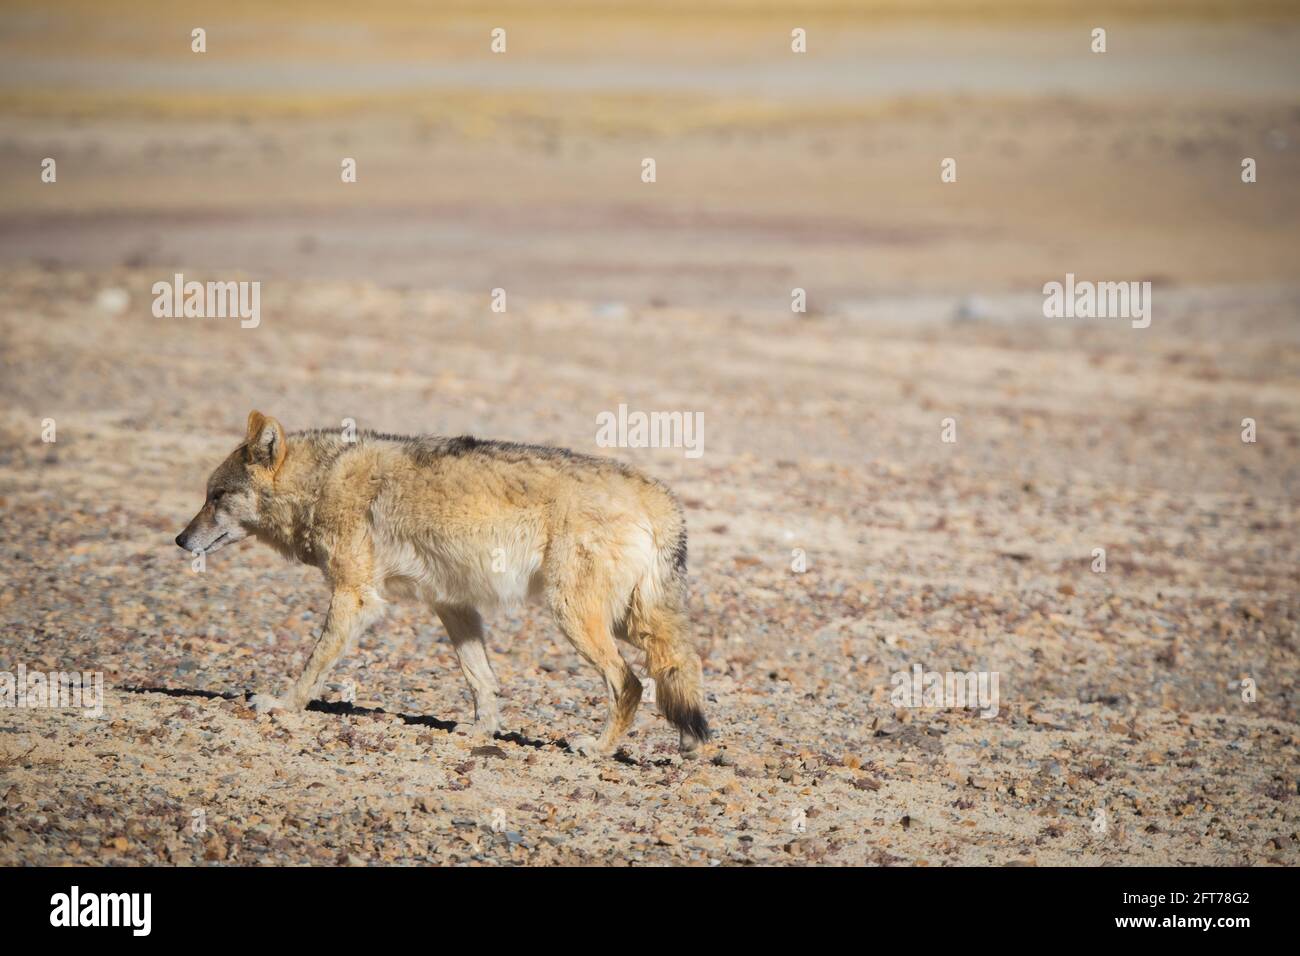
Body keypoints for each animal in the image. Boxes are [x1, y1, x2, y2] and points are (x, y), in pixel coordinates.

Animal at [175, 411, 710, 757]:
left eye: (216, 497)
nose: (179, 540)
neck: (322, 482)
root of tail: (659, 495)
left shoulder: (356, 597)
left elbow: (314, 664)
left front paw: (282, 706)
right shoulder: (453, 605)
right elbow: (481, 679)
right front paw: (482, 732)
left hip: (578, 617)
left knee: (632, 682)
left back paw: (598, 748)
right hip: (624, 620)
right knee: (681, 664)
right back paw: (690, 744)